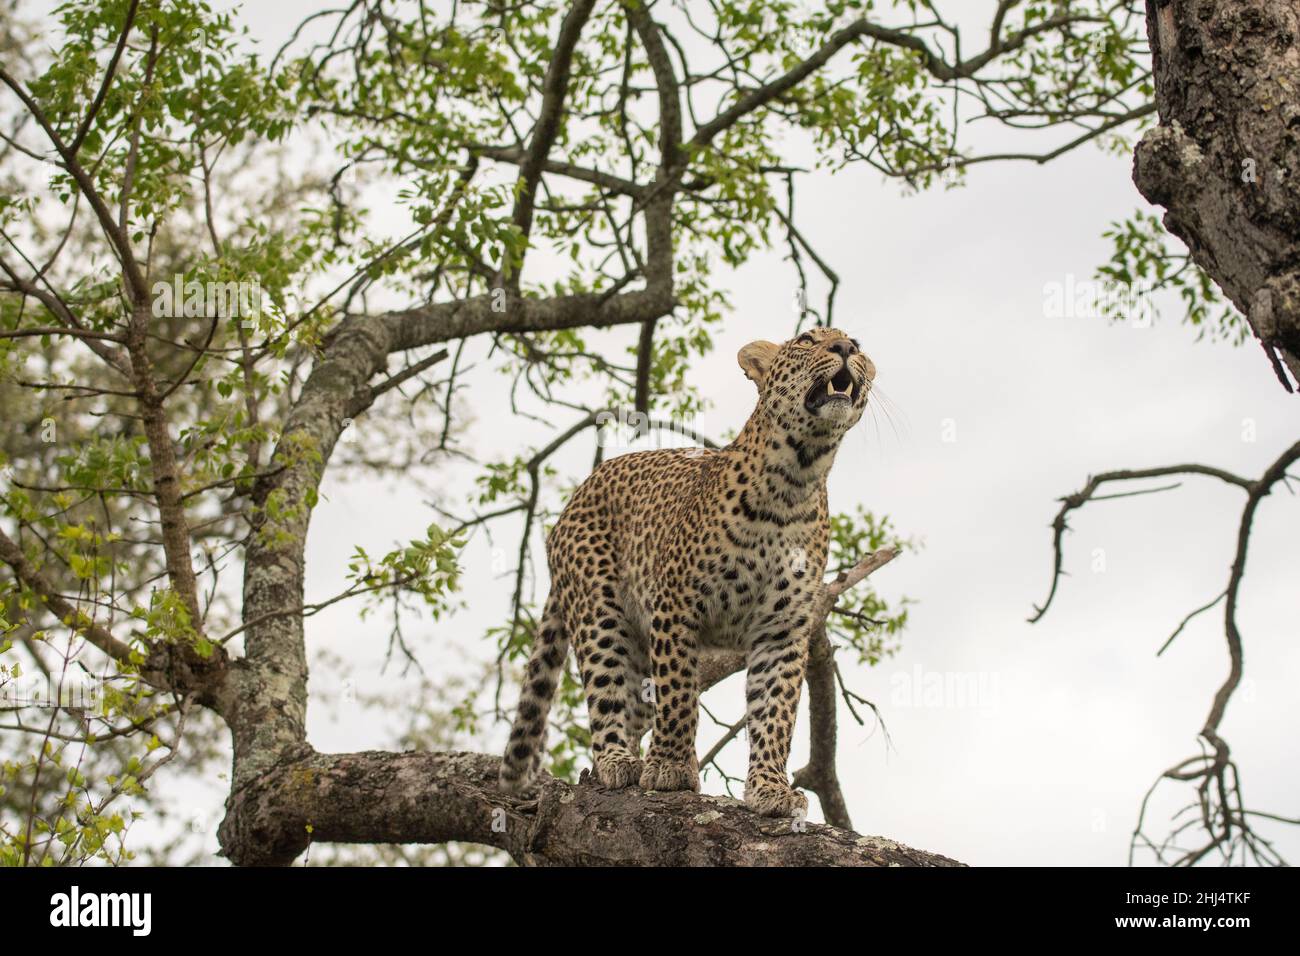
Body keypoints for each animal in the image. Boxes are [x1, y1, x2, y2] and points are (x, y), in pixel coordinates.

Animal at [497, 326, 876, 817]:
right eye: (808, 339)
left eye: (857, 344)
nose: (845, 349)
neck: (796, 477)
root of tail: (578, 495)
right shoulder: (677, 604)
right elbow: (678, 693)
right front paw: (672, 768)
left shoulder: (781, 630)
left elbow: (775, 712)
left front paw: (770, 787)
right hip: (599, 609)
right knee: (606, 690)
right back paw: (617, 761)